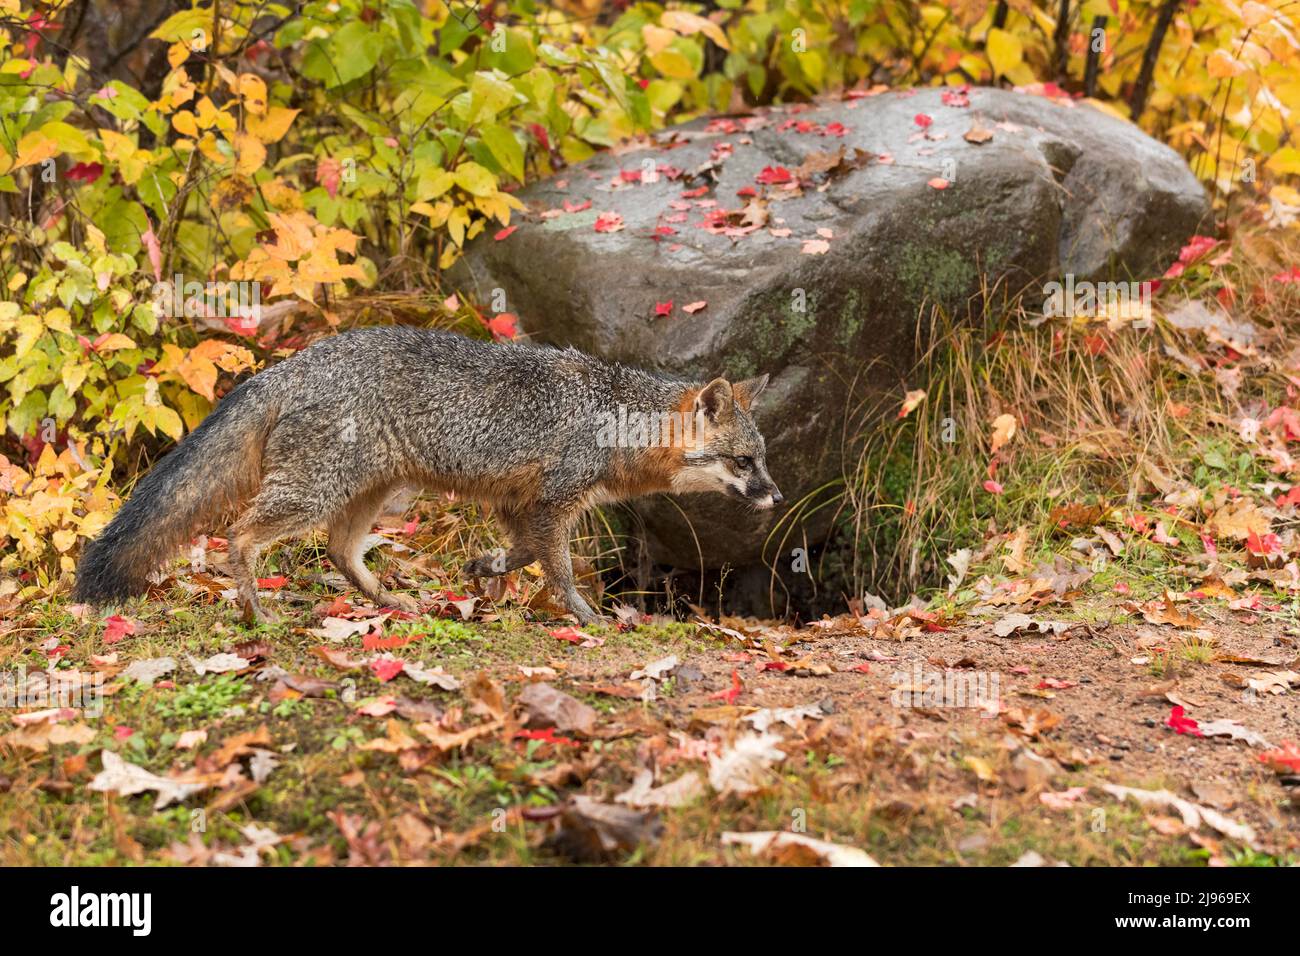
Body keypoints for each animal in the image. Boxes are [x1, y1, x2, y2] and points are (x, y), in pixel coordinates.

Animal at [72, 326, 782, 624]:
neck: (610, 418)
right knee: (237, 537)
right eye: (744, 462)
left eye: (764, 458)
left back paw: (390, 601)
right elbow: (556, 568)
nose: (777, 496)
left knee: (339, 550)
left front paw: (486, 570)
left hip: (372, 491)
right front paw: (585, 614)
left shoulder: (518, 502)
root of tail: (289, 365)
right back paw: (255, 611)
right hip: (315, 493)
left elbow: (523, 553)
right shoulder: (555, 502)